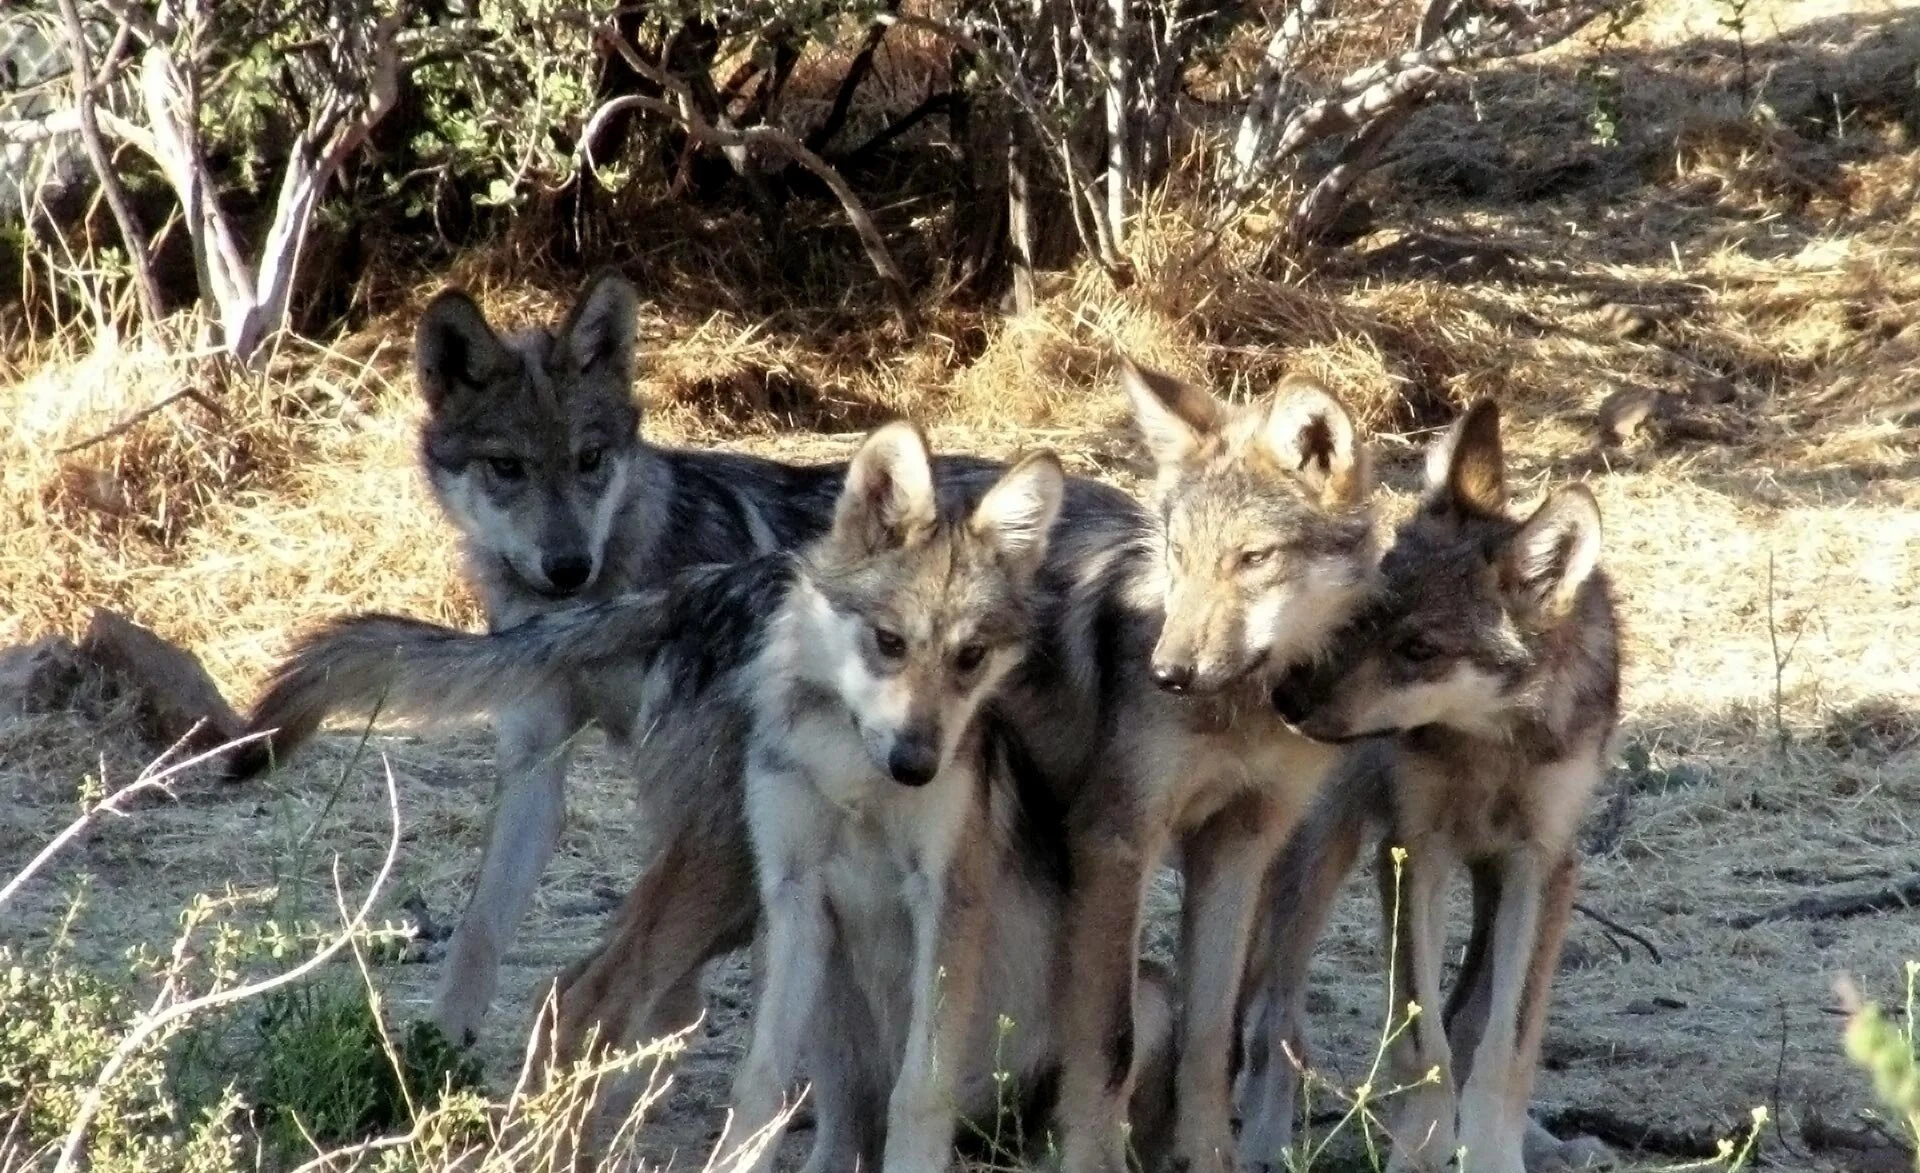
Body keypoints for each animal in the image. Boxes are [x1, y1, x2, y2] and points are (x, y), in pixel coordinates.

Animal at [239, 423, 1175, 1172]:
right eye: (888, 642)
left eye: (972, 657)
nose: (915, 762)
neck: (853, 772)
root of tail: (704, 585)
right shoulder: (801, 895)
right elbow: (760, 1084)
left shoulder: (941, 900)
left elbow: (914, 1092)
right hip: (740, 899)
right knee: (587, 995)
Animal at [1244, 400, 1622, 1173]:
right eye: (1362, 621)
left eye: (1419, 649)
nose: (1288, 700)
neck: (1488, 744)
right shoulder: (1415, 850)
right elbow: (1426, 1046)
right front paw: (1421, 1150)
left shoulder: (1543, 863)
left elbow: (1502, 1045)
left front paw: (1495, 1153)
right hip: (1315, 861)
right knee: (1274, 1013)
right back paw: (1259, 1145)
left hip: (1489, 885)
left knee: (1470, 1013)